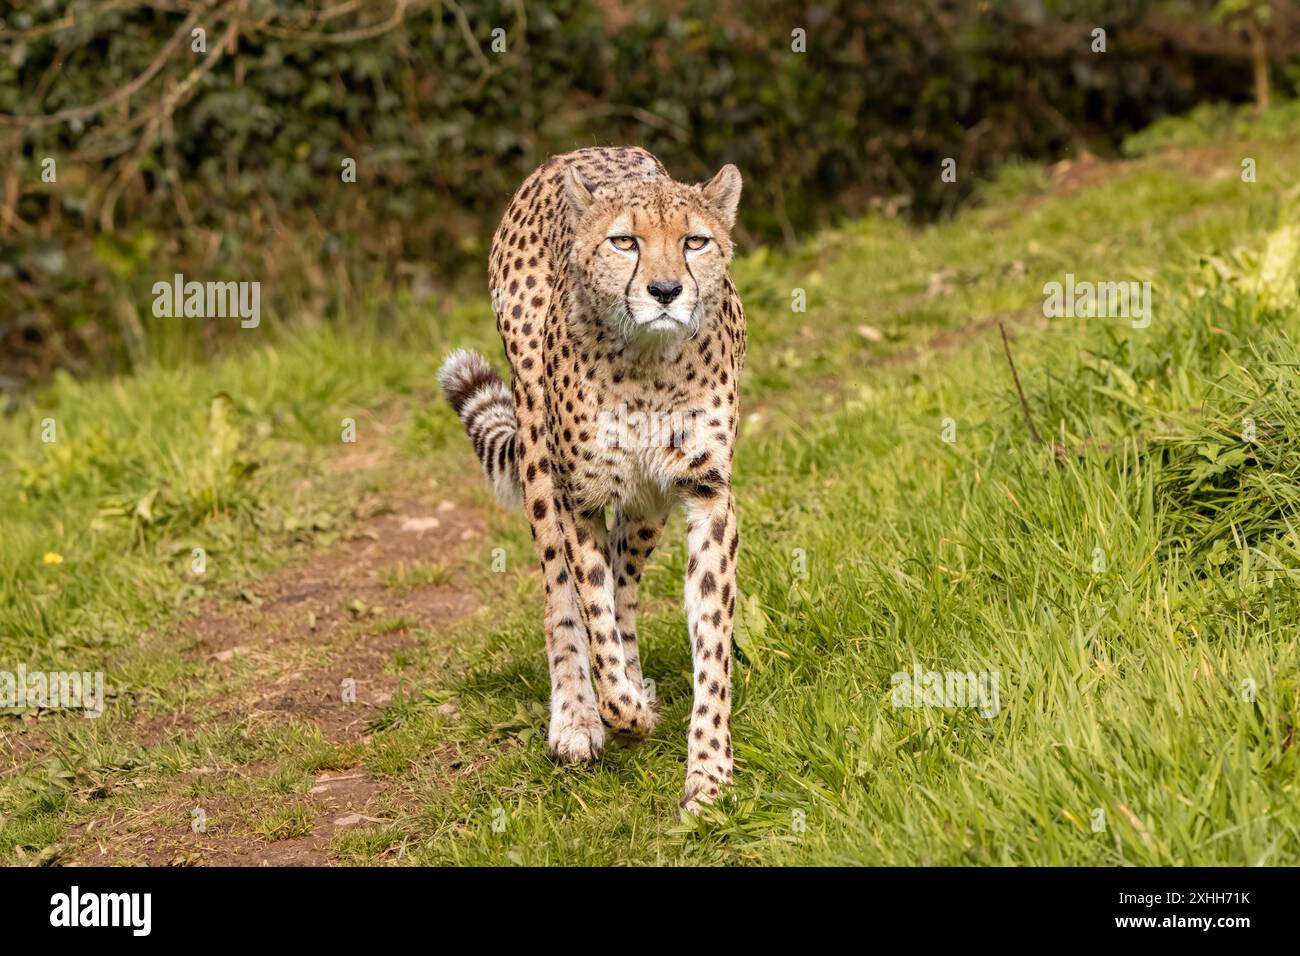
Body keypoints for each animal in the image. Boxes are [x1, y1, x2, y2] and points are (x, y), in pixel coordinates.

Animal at [438, 146, 745, 811]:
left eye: (696, 241)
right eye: (624, 241)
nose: (665, 291)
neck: (650, 365)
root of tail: (572, 154)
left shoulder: (706, 493)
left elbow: (709, 638)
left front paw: (708, 773)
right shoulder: (578, 497)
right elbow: (592, 617)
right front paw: (620, 715)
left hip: (648, 501)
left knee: (625, 580)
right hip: (538, 456)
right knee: (562, 594)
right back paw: (577, 716)